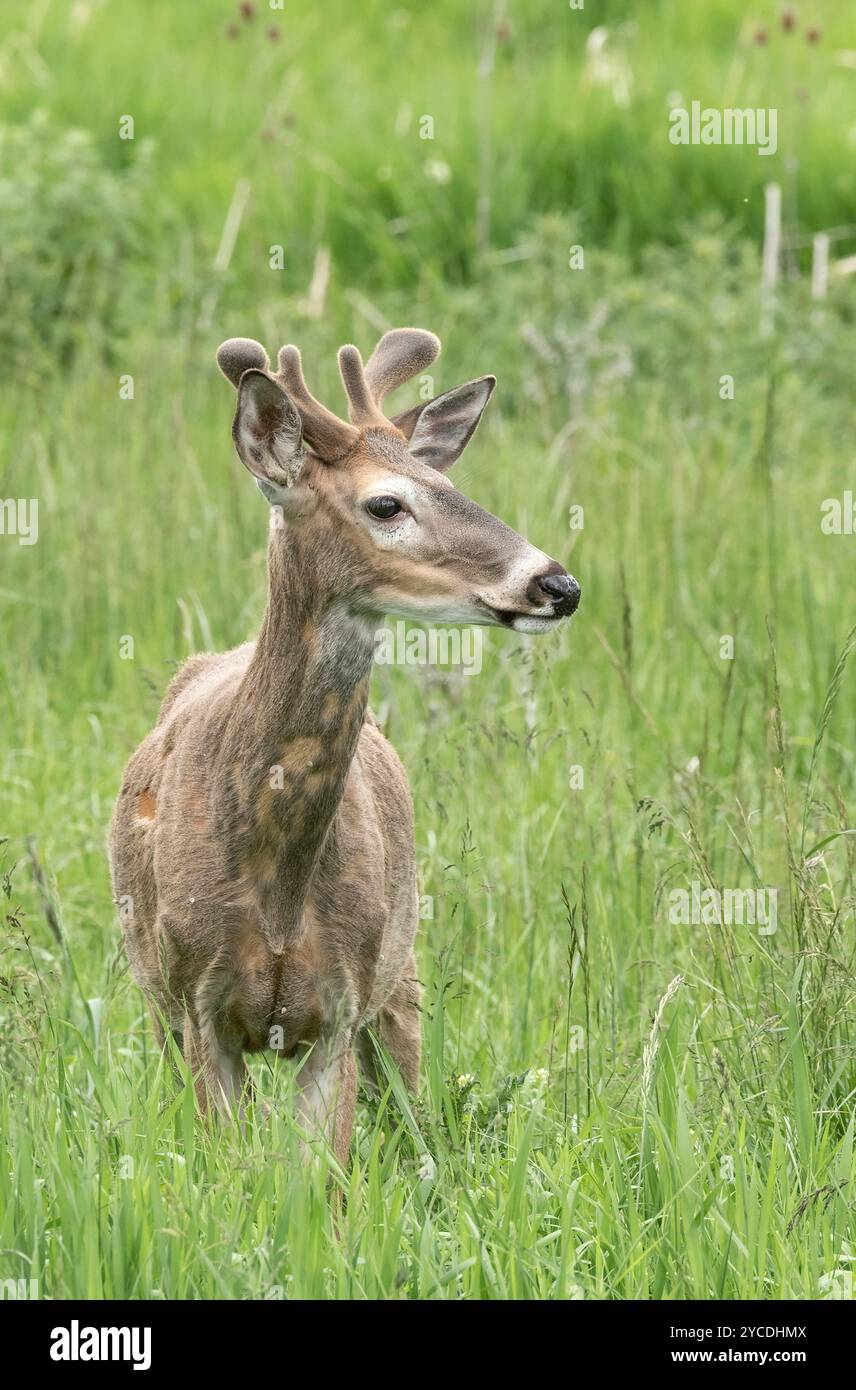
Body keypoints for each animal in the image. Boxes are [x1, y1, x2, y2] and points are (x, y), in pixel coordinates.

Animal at [109, 327, 580, 1164]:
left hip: (403, 973)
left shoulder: (342, 1005)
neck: (277, 887)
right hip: (158, 1003)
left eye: (444, 478)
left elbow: (322, 1177)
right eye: (386, 503)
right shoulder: (199, 1004)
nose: (556, 585)